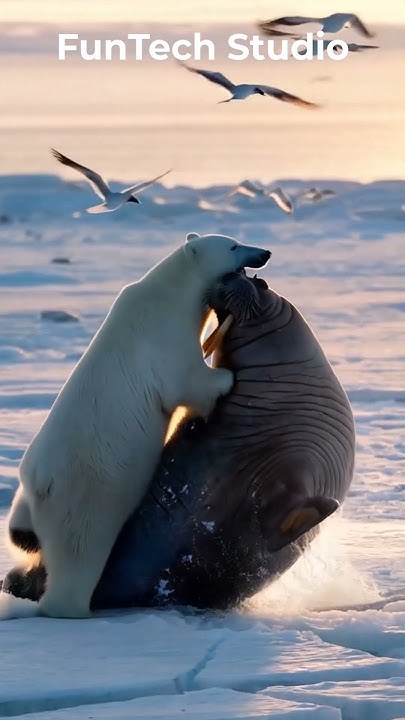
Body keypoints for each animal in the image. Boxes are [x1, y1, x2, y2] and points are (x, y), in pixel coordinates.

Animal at [5, 232, 270, 619]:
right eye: (234, 245)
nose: (264, 252)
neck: (169, 290)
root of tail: (42, 485)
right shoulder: (163, 336)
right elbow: (185, 381)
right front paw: (225, 377)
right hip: (86, 497)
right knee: (79, 554)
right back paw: (69, 607)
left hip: (29, 496)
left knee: (22, 529)